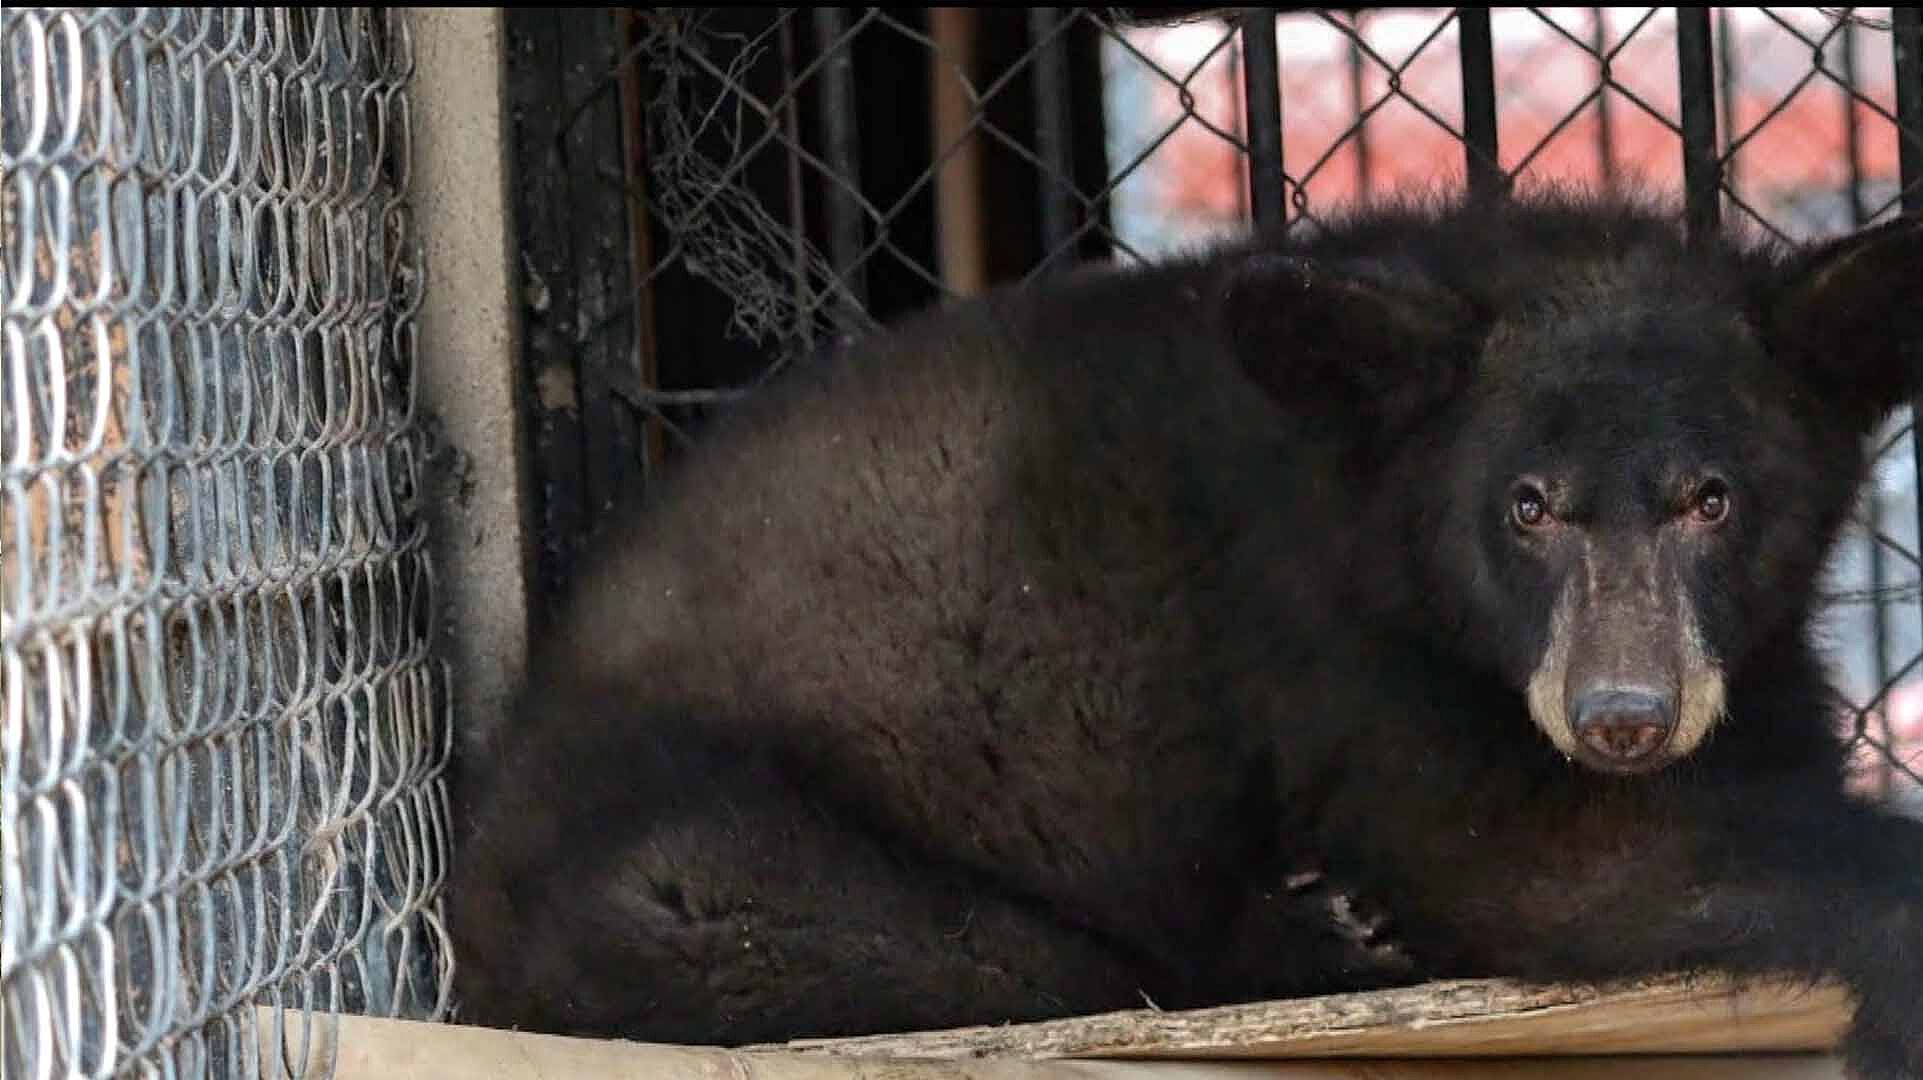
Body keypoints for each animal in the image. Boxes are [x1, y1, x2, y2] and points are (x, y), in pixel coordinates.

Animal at [446, 185, 1923, 1078]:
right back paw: (1313, 930)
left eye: (1711, 499)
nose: (1622, 718)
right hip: (689, 861)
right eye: (1526, 506)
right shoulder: (1339, 660)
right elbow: (1532, 861)